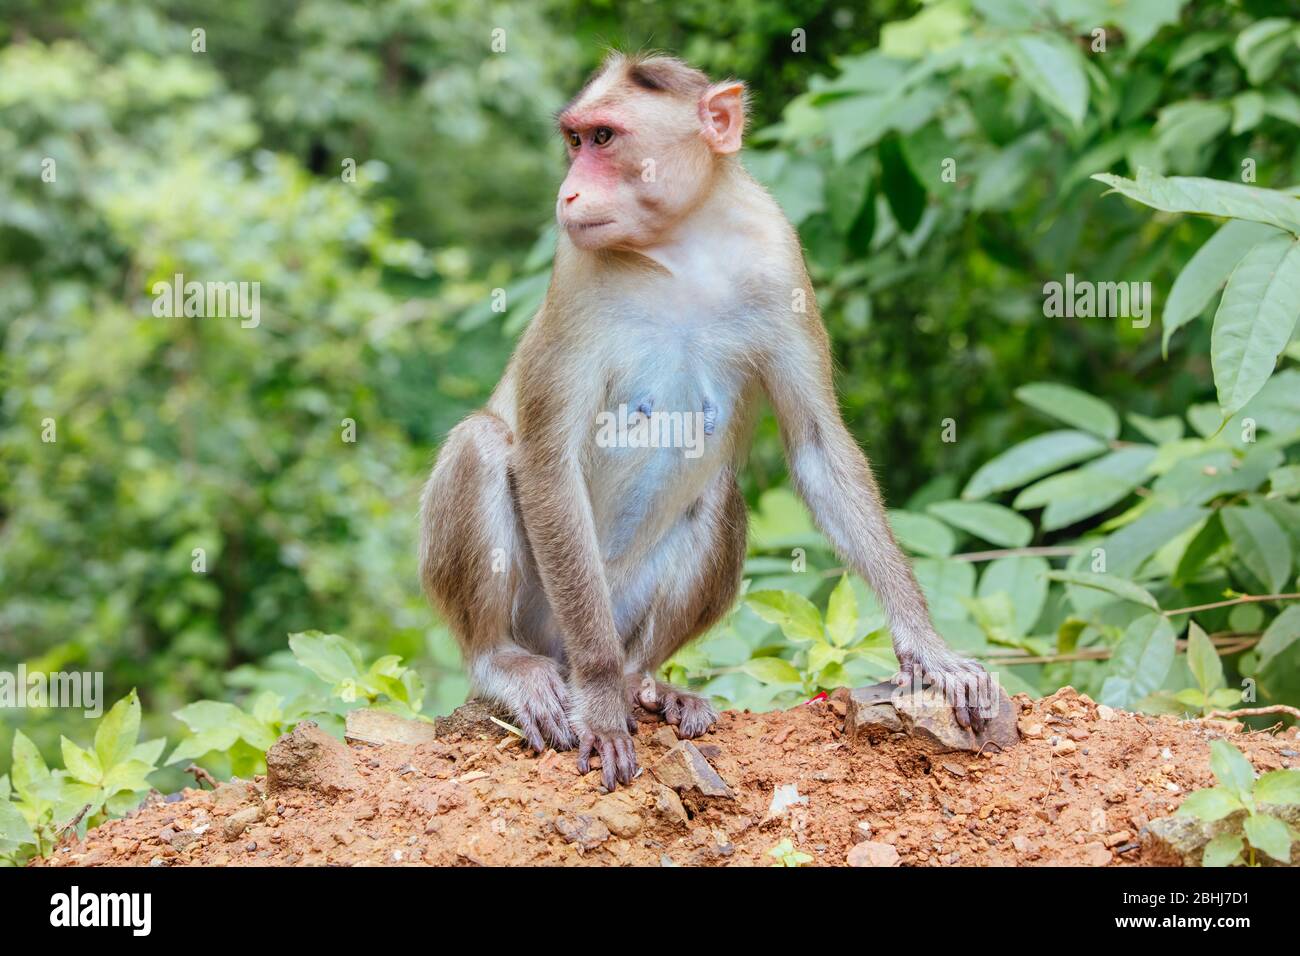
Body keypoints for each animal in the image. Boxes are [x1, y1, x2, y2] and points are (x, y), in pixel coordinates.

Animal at [419, 52, 995, 791]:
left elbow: (817, 444)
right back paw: (521, 667)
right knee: (483, 444)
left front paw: (925, 644)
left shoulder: (779, 254)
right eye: (575, 140)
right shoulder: (573, 272)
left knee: (720, 493)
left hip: (624, 609)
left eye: (603, 138)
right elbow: (546, 464)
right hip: (555, 616)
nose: (568, 195)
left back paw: (644, 682)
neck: (681, 247)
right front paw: (599, 705)